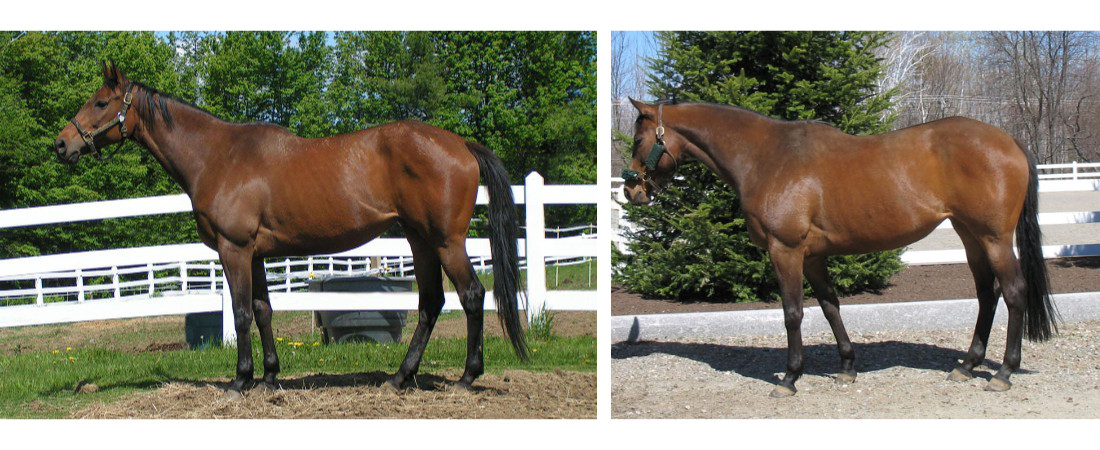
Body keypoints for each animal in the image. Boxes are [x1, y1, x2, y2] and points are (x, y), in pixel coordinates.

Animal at [54, 62, 527, 396]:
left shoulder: (234, 250)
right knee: (431, 303)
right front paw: (269, 377)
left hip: (446, 242)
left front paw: (240, 382)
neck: (218, 157)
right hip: (420, 241)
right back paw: (399, 377)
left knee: (472, 296)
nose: (62, 144)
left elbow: (241, 313)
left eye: (100, 103)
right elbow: (263, 310)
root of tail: (461, 144)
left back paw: (466, 377)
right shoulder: (256, 254)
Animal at [621, 98, 1058, 397]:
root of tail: (1009, 139)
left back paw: (1003, 372)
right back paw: (967, 365)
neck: (765, 157)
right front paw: (847, 366)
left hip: (994, 239)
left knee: (1014, 293)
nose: (631, 191)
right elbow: (831, 307)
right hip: (970, 236)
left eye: (638, 139)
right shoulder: (813, 256)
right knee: (987, 294)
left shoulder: (786, 251)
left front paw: (790, 377)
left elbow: (793, 314)